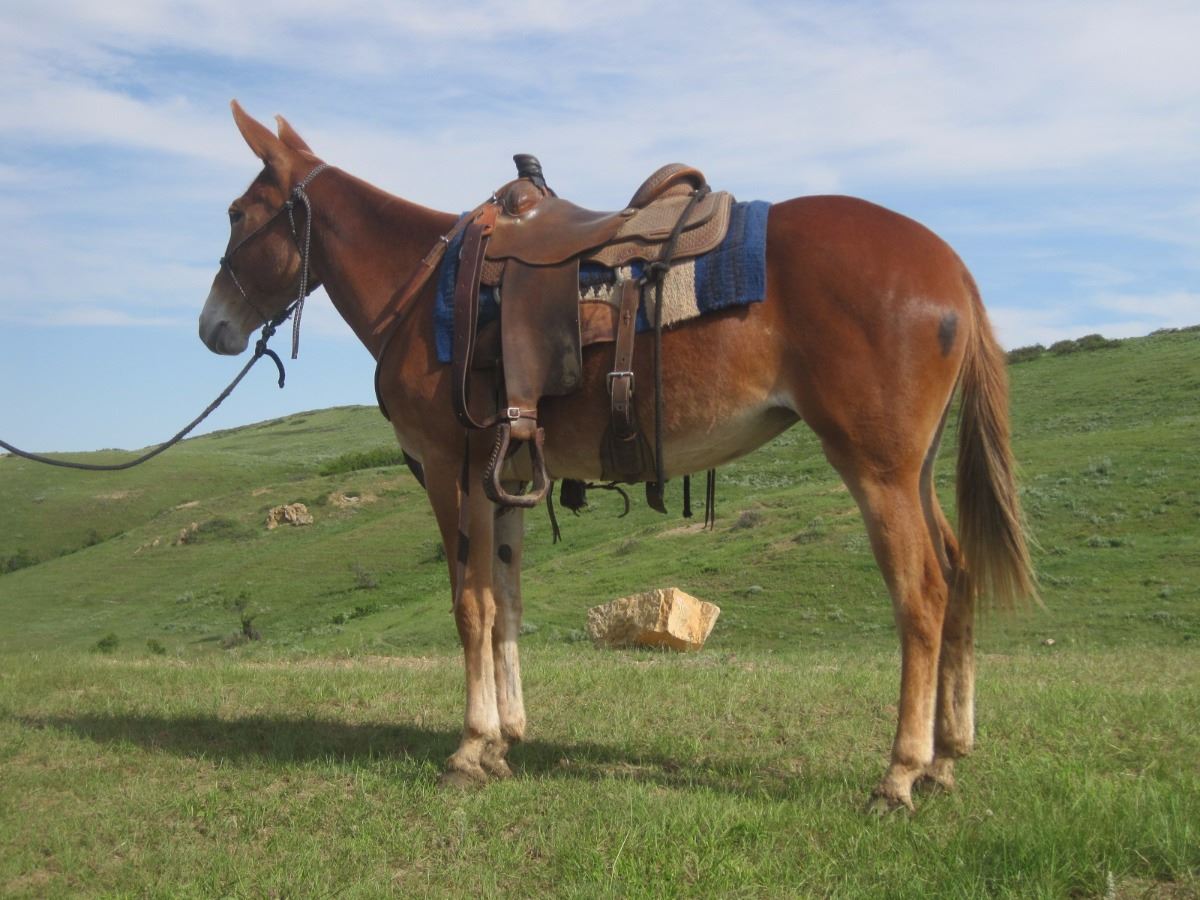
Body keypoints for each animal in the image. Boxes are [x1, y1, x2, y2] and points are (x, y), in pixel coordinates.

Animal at [198, 101, 1036, 812]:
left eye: (239, 214)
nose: (212, 326)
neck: (427, 291)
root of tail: (949, 266)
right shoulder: (505, 477)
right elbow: (506, 603)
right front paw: (505, 739)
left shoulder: (449, 470)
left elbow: (470, 606)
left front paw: (470, 747)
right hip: (913, 470)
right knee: (959, 573)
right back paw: (945, 758)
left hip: (876, 471)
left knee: (923, 595)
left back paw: (899, 773)